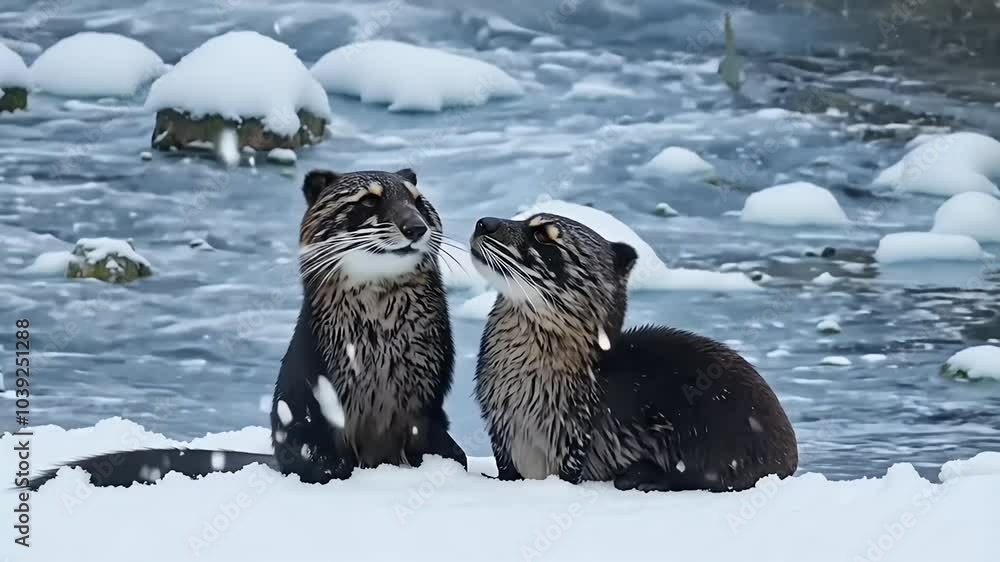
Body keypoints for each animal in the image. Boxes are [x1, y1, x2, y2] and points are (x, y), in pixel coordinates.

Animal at [26, 169, 466, 489]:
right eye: (369, 201)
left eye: (418, 202)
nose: (415, 227)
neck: (378, 342)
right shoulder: (310, 404)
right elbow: (317, 455)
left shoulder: (424, 404)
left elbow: (442, 444)